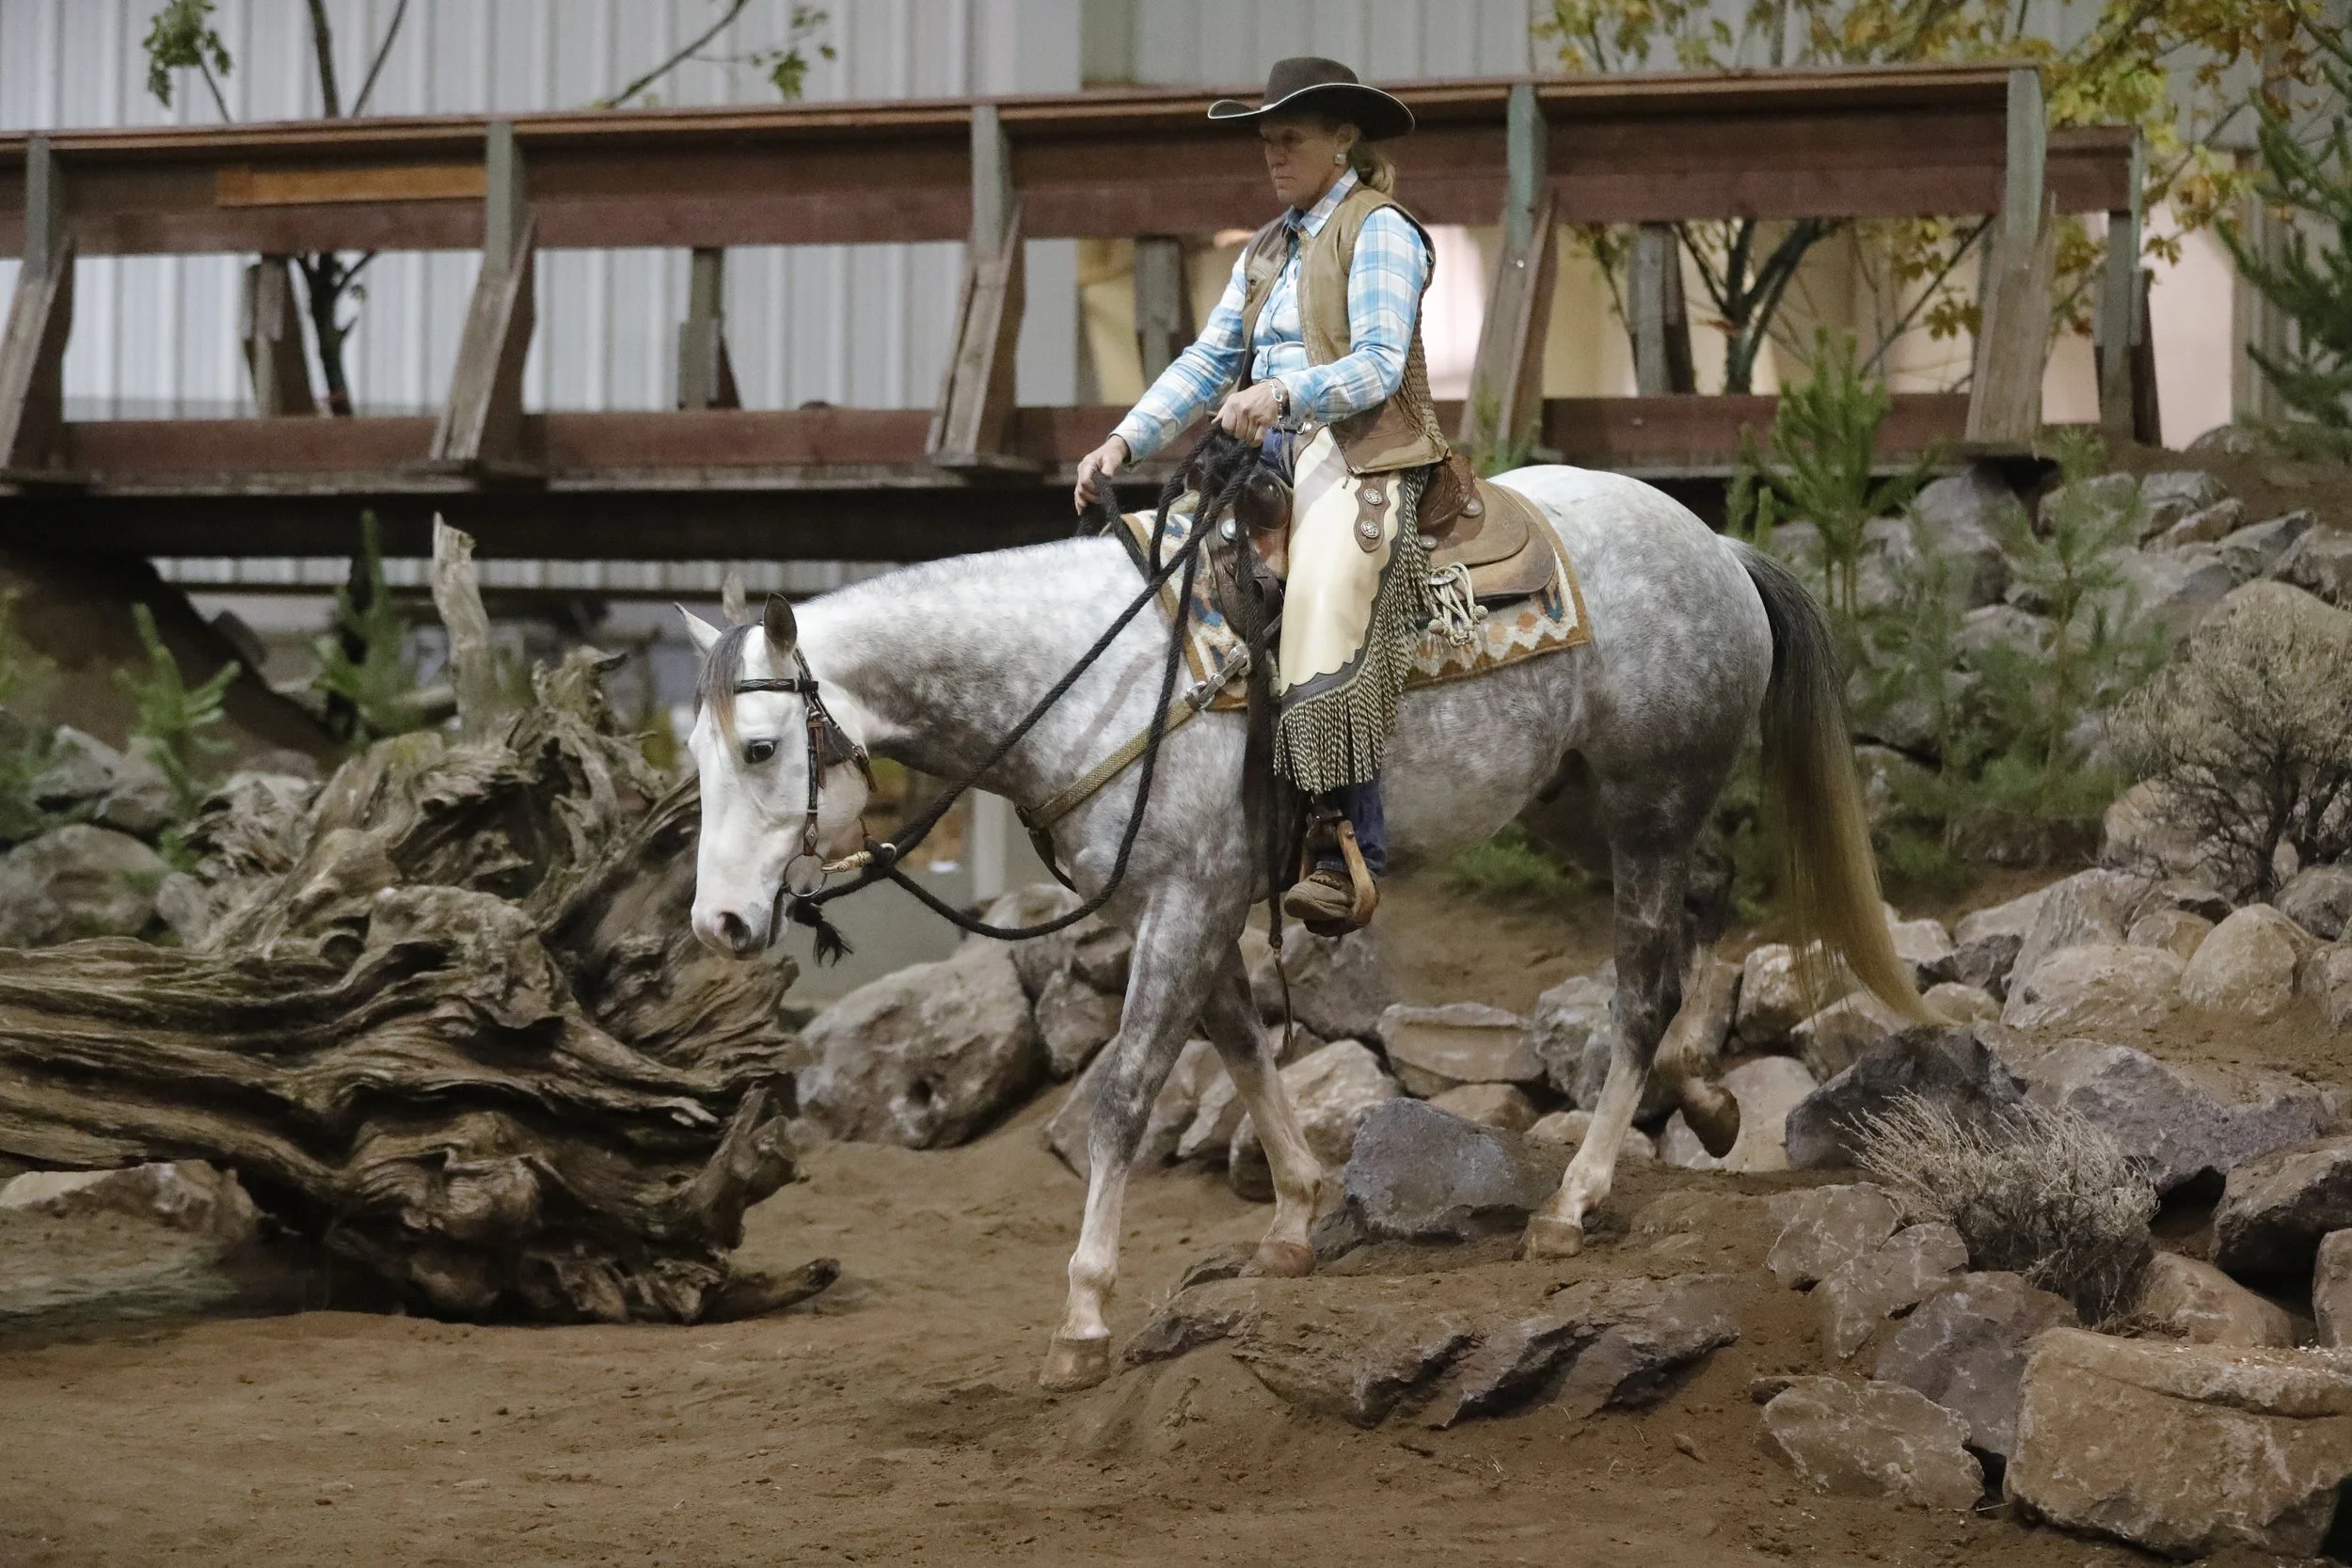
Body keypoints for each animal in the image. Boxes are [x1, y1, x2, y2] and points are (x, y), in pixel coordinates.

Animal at [680, 461, 1930, 1392]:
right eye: (694, 751)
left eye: (760, 747)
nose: (722, 922)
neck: (1101, 677)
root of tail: (1716, 546)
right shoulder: (1185, 902)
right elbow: (1238, 1044)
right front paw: (1294, 1214)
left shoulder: (1185, 902)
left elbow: (1127, 1088)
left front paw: (1082, 1317)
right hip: (1582, 801)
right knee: (1707, 903)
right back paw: (1706, 1097)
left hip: (1647, 800)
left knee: (1642, 981)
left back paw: (1573, 1202)